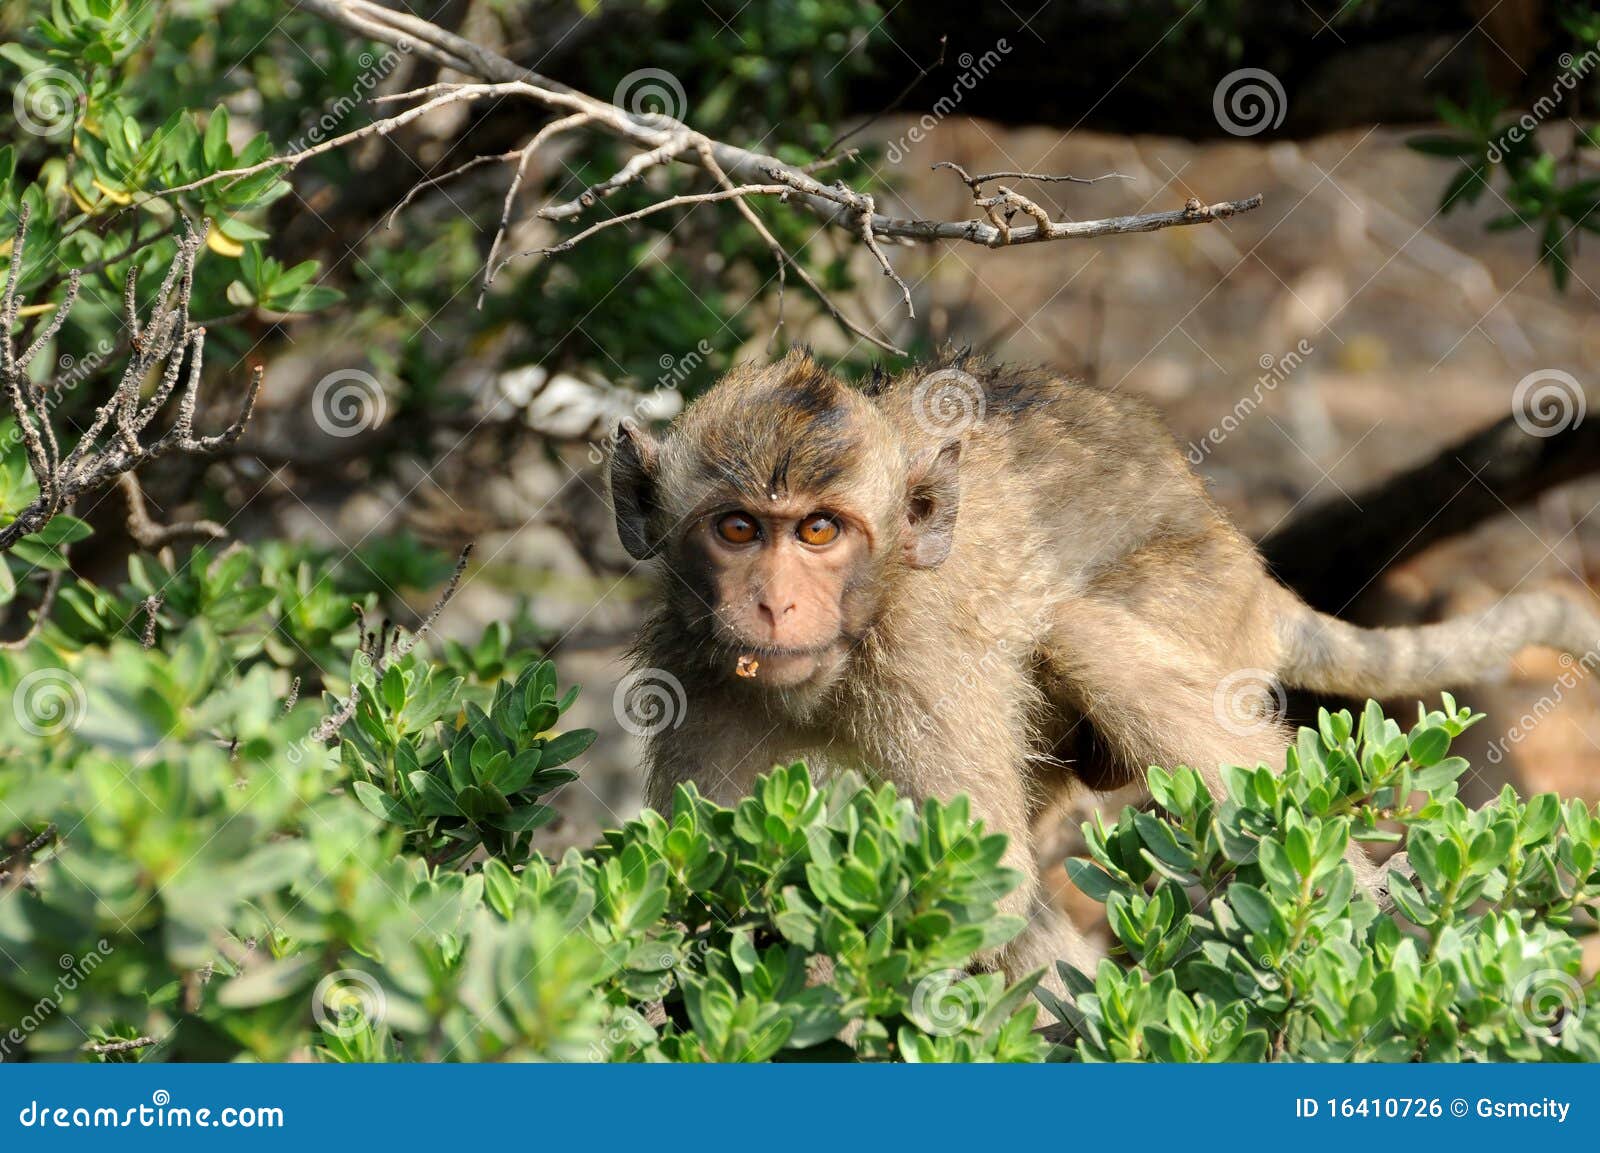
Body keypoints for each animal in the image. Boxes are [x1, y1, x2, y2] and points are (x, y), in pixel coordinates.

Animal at [608, 347, 1600, 985]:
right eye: (739, 528)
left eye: (818, 530)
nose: (774, 604)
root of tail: (1253, 573)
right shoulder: (699, 676)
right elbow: (707, 884)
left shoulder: (924, 662)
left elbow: (987, 888)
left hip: (1201, 600)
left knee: (1079, 632)